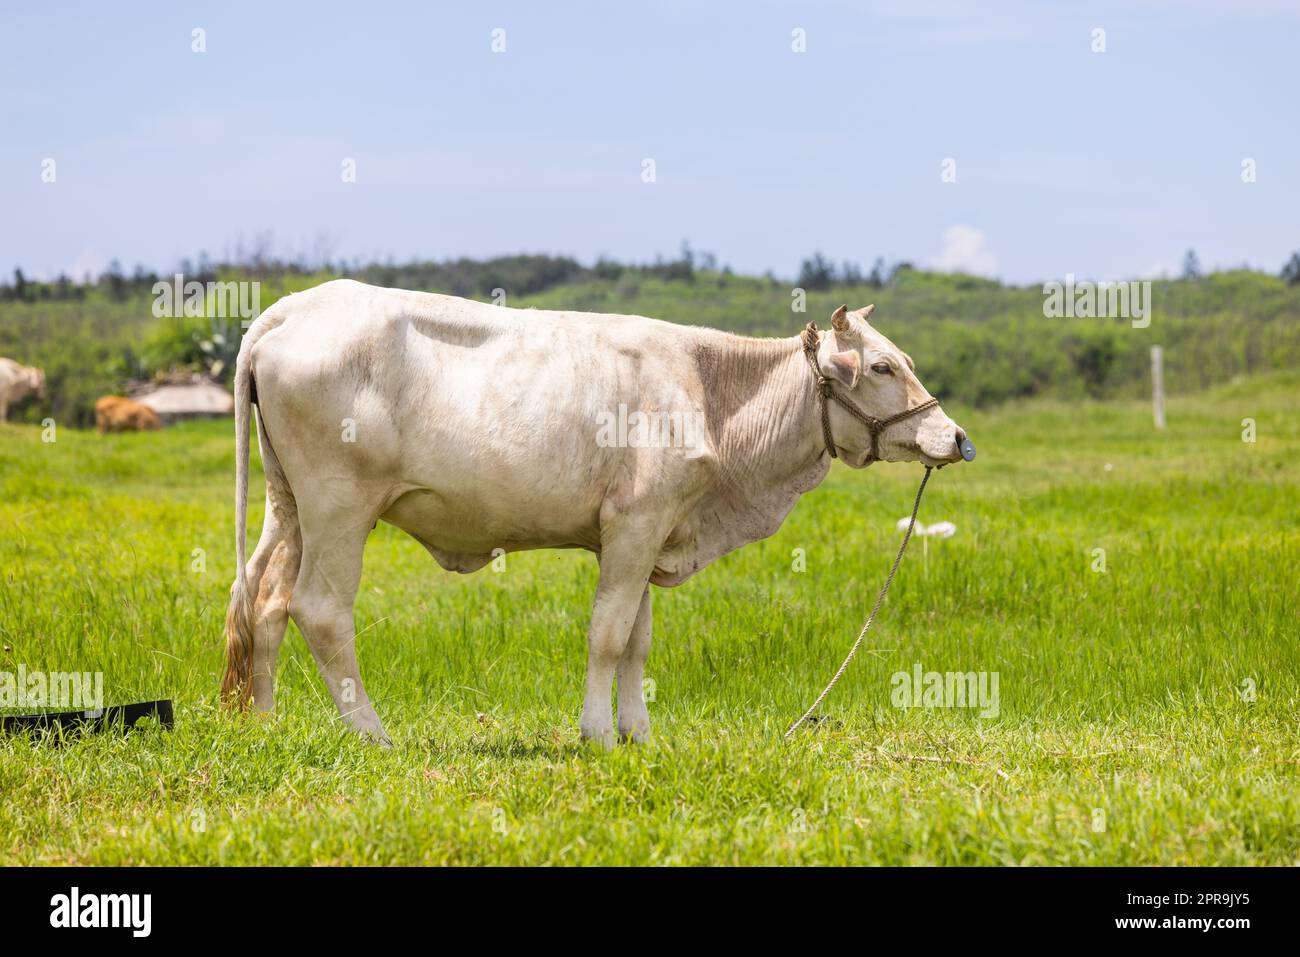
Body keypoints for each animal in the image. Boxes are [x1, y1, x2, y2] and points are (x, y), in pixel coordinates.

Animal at [222, 280, 970, 747]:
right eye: (882, 366)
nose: (956, 437)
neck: (711, 395)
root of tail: (289, 310)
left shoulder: (654, 528)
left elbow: (638, 638)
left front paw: (640, 732)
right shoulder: (635, 524)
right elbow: (608, 634)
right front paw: (600, 734)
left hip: (289, 505)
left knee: (266, 599)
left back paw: (265, 723)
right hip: (340, 508)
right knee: (320, 609)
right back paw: (374, 734)